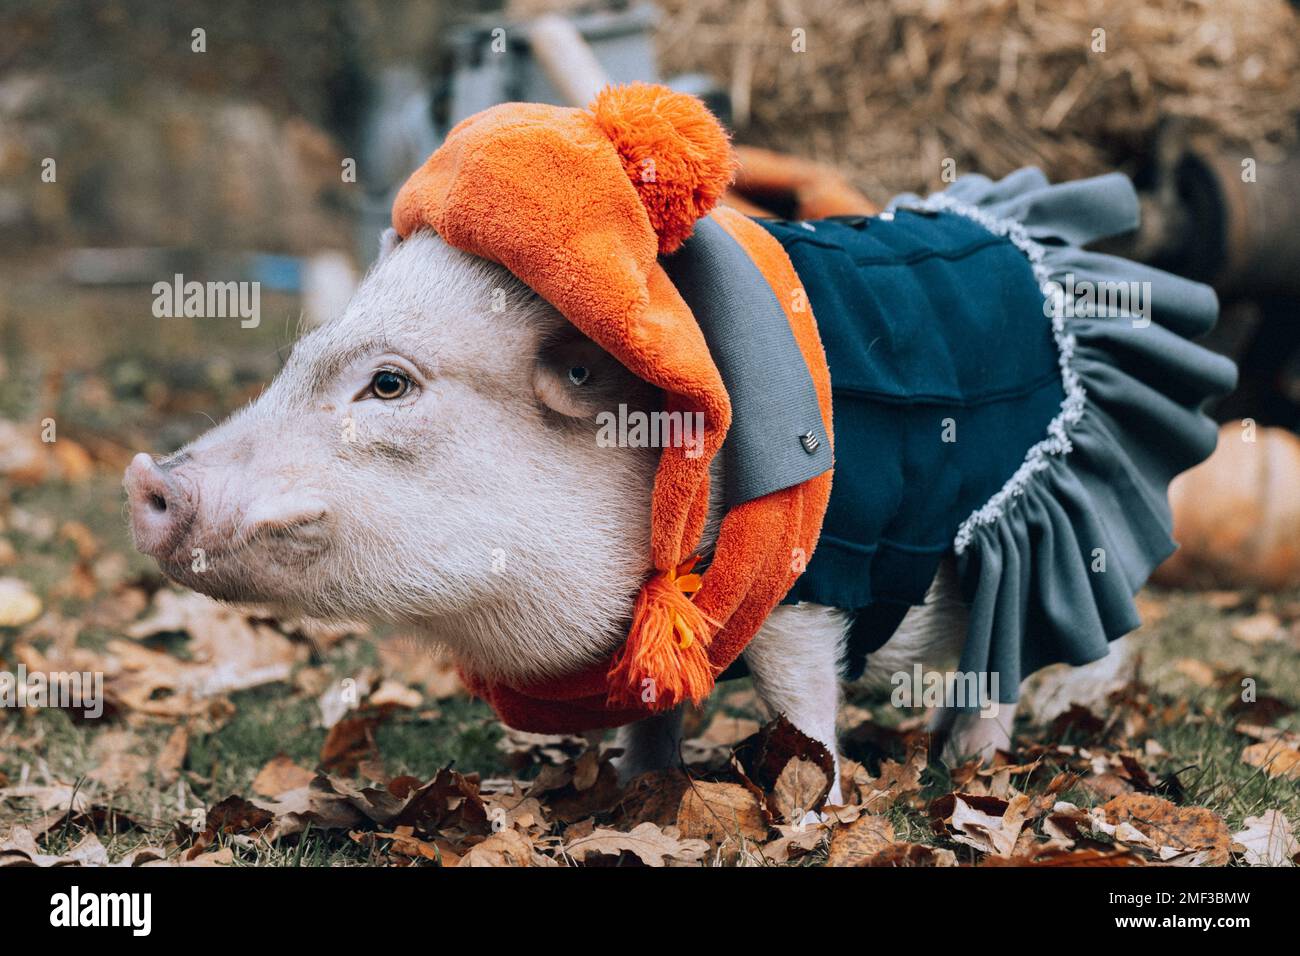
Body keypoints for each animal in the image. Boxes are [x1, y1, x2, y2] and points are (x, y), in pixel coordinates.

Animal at [127, 227, 1087, 802]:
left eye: (390, 384)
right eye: (300, 360)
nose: (148, 479)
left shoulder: (805, 597)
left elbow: (803, 704)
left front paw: (816, 810)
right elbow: (653, 711)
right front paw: (635, 791)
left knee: (1007, 659)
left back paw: (970, 764)